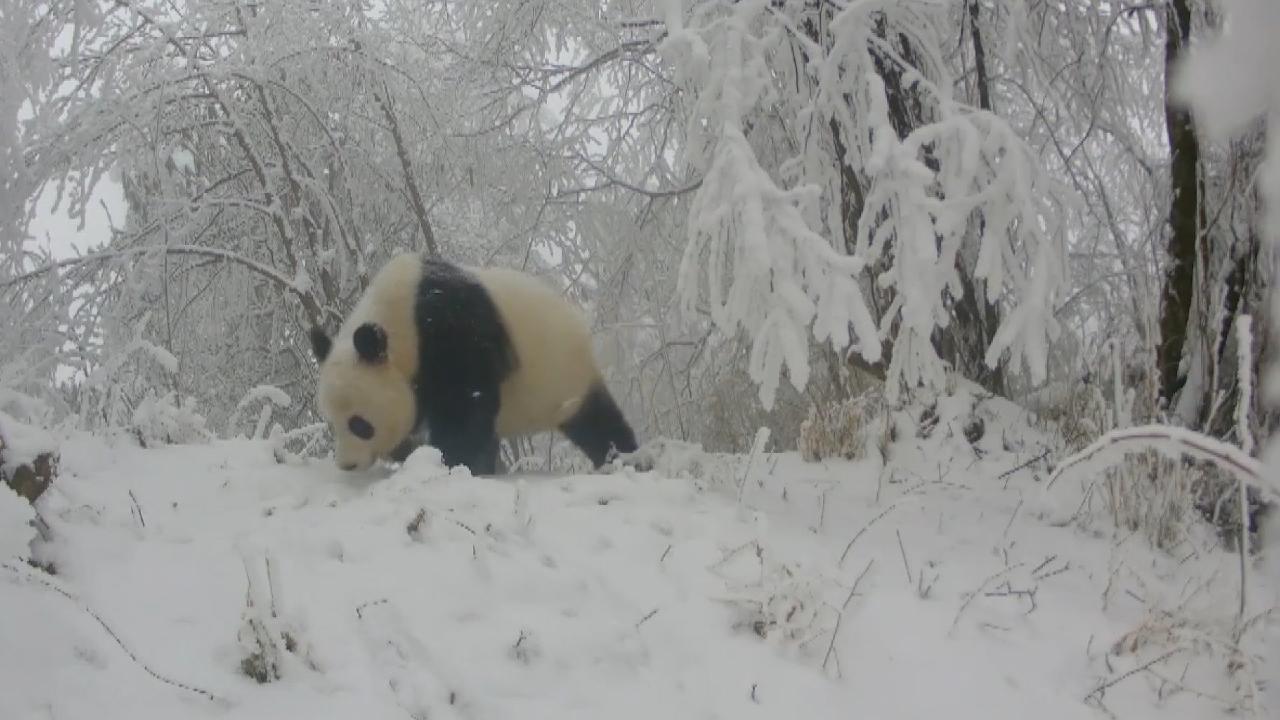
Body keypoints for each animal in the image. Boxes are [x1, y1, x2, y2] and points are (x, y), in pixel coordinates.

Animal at [308, 252, 640, 476]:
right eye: (332, 423)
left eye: (359, 424)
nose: (348, 464)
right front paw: (414, 451)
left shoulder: (450, 329)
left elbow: (465, 403)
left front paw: (456, 462)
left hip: (563, 372)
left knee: (596, 420)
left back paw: (625, 459)